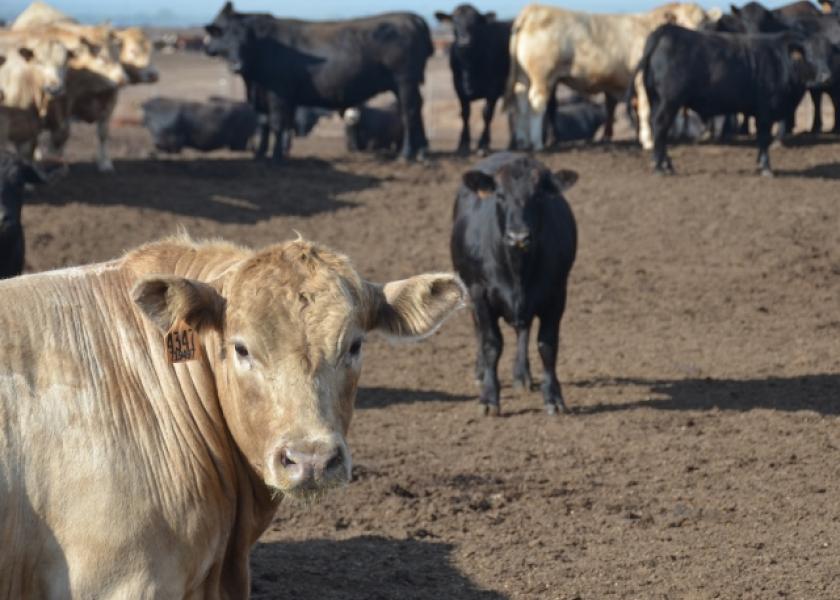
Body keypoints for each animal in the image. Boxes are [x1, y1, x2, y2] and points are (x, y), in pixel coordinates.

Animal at [204, 2, 433, 161]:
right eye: (225, 37)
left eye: (244, 42)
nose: (237, 66)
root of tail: (411, 18)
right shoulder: (261, 94)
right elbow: (265, 123)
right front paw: (260, 154)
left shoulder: (278, 94)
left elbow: (278, 124)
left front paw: (276, 157)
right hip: (404, 85)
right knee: (417, 109)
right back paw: (422, 152)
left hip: (404, 81)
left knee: (409, 112)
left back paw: (406, 153)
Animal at [435, 4, 513, 155]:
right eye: (455, 21)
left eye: (476, 22)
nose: (465, 42)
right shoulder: (459, 88)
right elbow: (465, 114)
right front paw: (463, 144)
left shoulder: (493, 89)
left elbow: (487, 114)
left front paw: (483, 144)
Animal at [451, 153, 577, 416]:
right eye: (500, 195)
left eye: (538, 195)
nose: (518, 236)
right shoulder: (480, 293)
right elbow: (491, 343)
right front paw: (489, 398)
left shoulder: (557, 294)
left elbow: (547, 344)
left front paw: (553, 396)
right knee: (478, 329)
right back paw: (481, 372)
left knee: (524, 330)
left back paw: (522, 374)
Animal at [506, 2, 713, 152]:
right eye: (682, 22)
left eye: (703, 22)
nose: (697, 37)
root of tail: (533, 9)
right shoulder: (641, 81)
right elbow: (646, 111)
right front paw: (649, 141)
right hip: (542, 76)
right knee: (536, 105)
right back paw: (537, 144)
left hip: (524, 78)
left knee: (521, 102)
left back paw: (523, 141)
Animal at [641, 23, 832, 176]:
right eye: (810, 55)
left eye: (828, 55)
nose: (826, 76)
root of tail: (668, 30)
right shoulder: (766, 110)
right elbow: (764, 137)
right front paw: (765, 167)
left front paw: (759, 164)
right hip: (669, 101)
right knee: (660, 126)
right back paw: (659, 167)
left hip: (656, 99)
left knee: (659, 129)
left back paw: (666, 165)